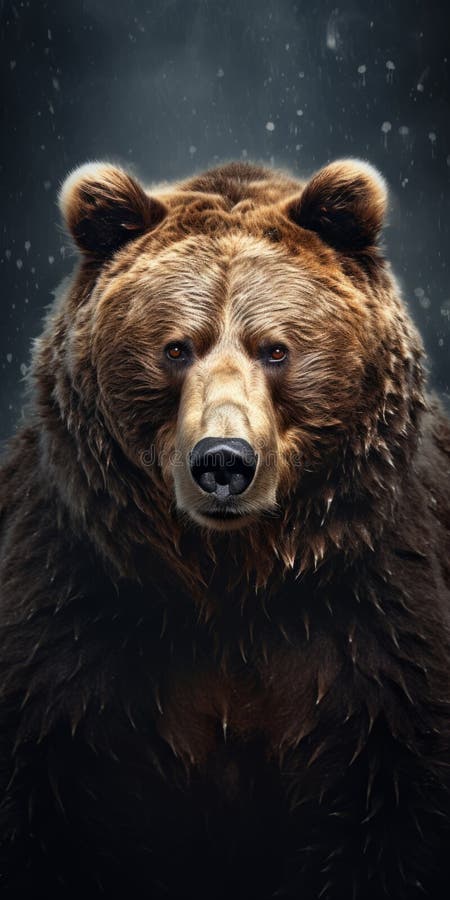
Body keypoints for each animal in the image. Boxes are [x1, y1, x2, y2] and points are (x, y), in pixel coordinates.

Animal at [0, 156, 449, 900]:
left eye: (276, 350)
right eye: (176, 347)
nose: (223, 462)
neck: (233, 578)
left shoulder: (379, 630)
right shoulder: (70, 625)